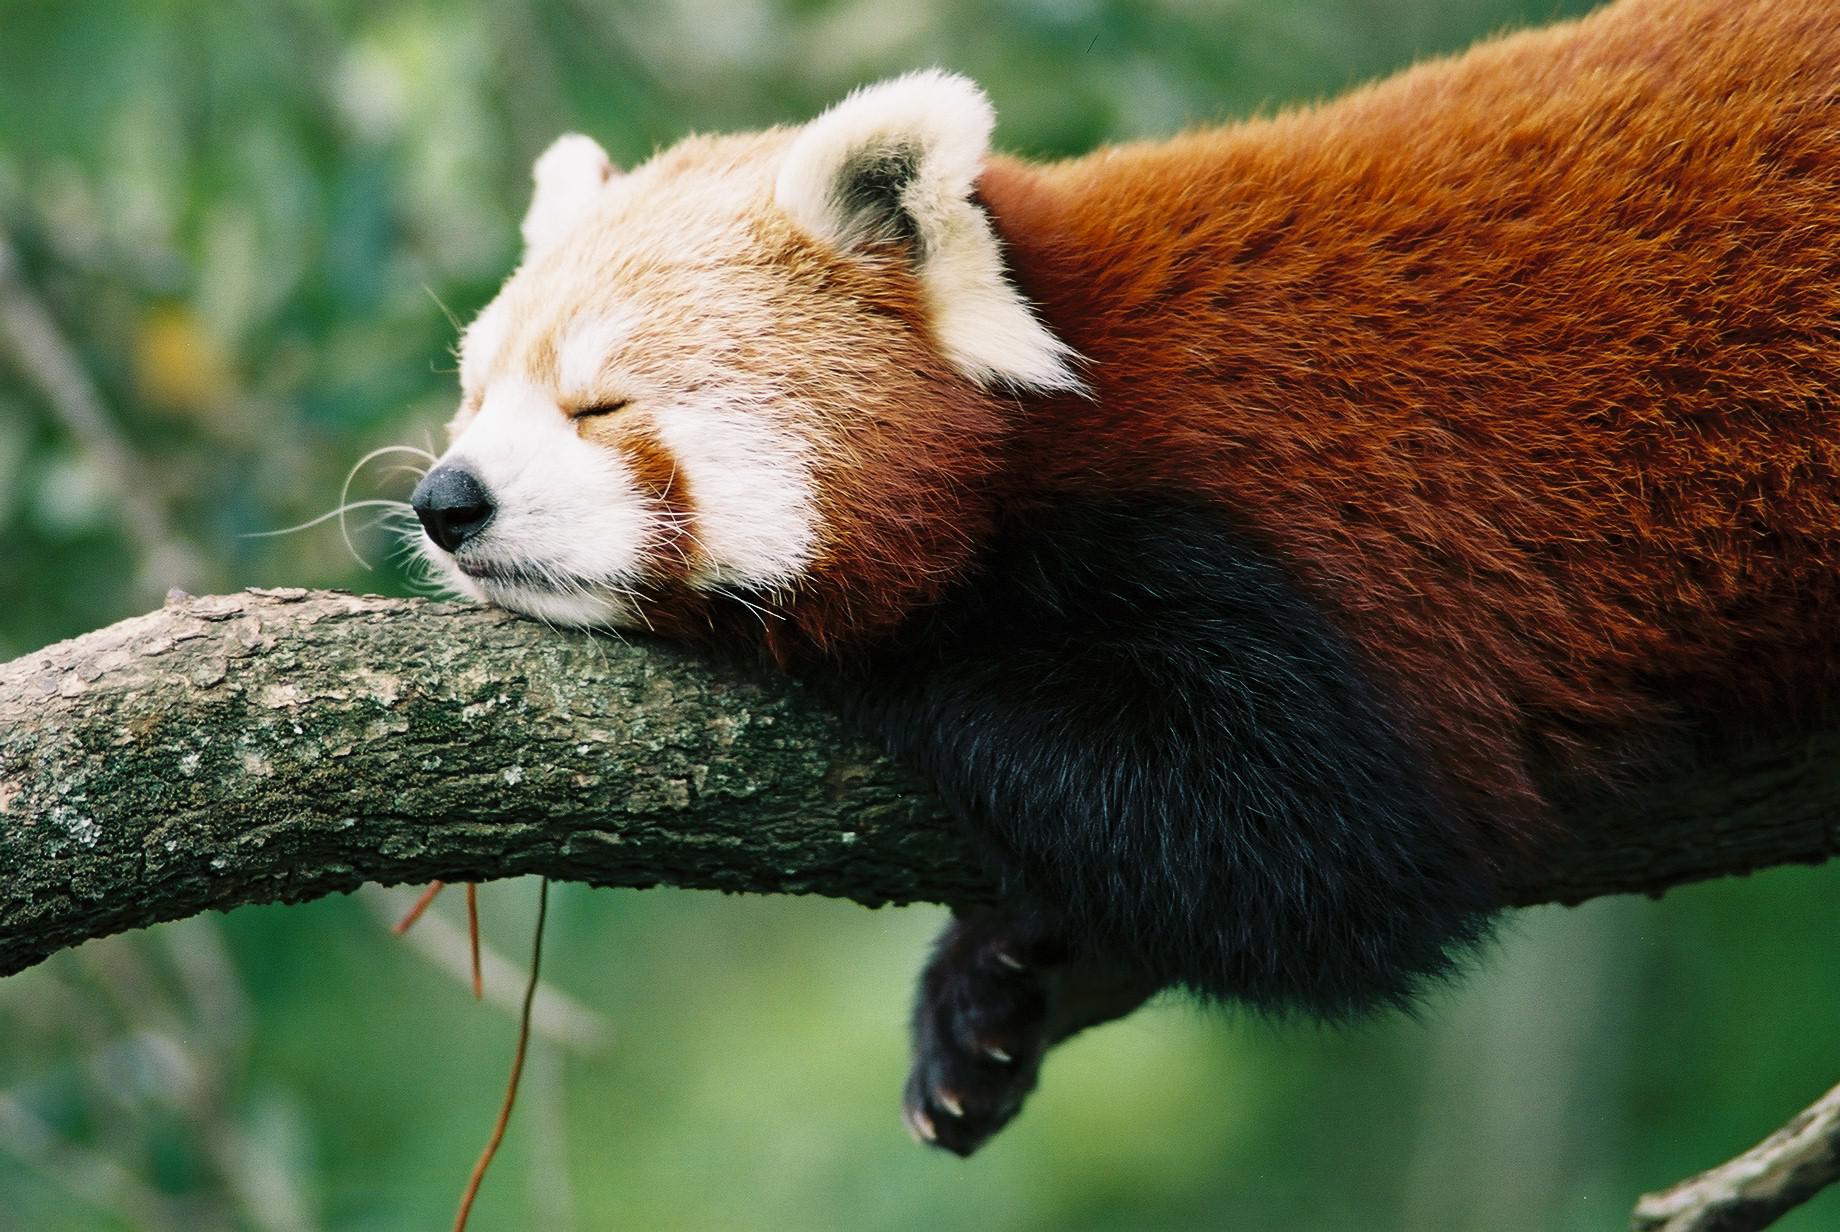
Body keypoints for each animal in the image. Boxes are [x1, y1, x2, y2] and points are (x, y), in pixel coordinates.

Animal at [408, 0, 1840, 1156]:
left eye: (599, 404)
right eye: (476, 395)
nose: (445, 501)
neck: (1064, 389)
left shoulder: (1326, 547)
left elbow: (1295, 855)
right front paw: (993, 995)